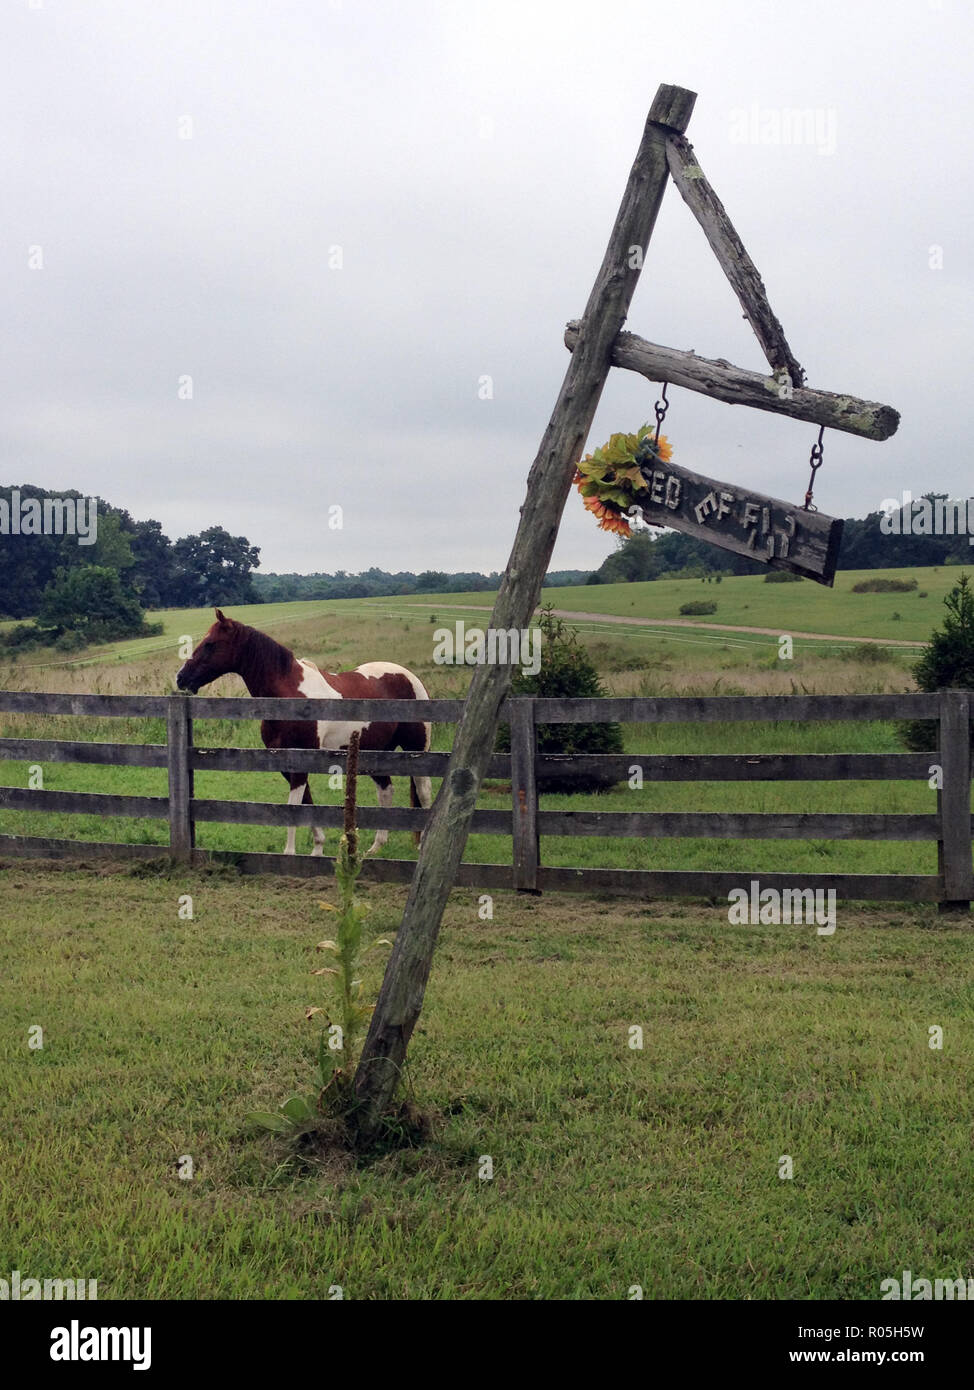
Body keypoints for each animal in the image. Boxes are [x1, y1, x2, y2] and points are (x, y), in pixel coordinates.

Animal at [174, 610, 433, 856]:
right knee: (386, 791)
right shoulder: (287, 764)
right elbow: (307, 803)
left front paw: (289, 853)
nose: (181, 677)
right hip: (377, 753)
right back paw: (375, 847)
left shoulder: (300, 762)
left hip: (416, 751)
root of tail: (409, 677)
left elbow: (295, 807)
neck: (290, 695)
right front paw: (317, 847)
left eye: (210, 644)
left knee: (424, 792)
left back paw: (422, 846)